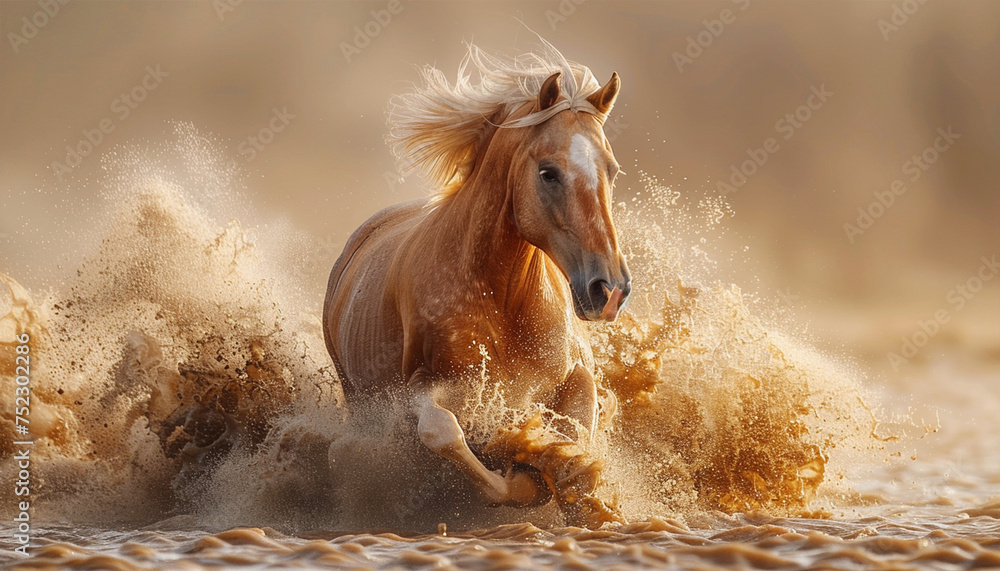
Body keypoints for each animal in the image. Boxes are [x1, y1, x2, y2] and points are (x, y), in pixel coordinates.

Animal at [322, 41, 631, 528]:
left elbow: (578, 433)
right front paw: (524, 472)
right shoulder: (425, 389)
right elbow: (444, 433)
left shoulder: (576, 376)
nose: (609, 289)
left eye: (613, 169)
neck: (505, 303)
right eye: (548, 172)